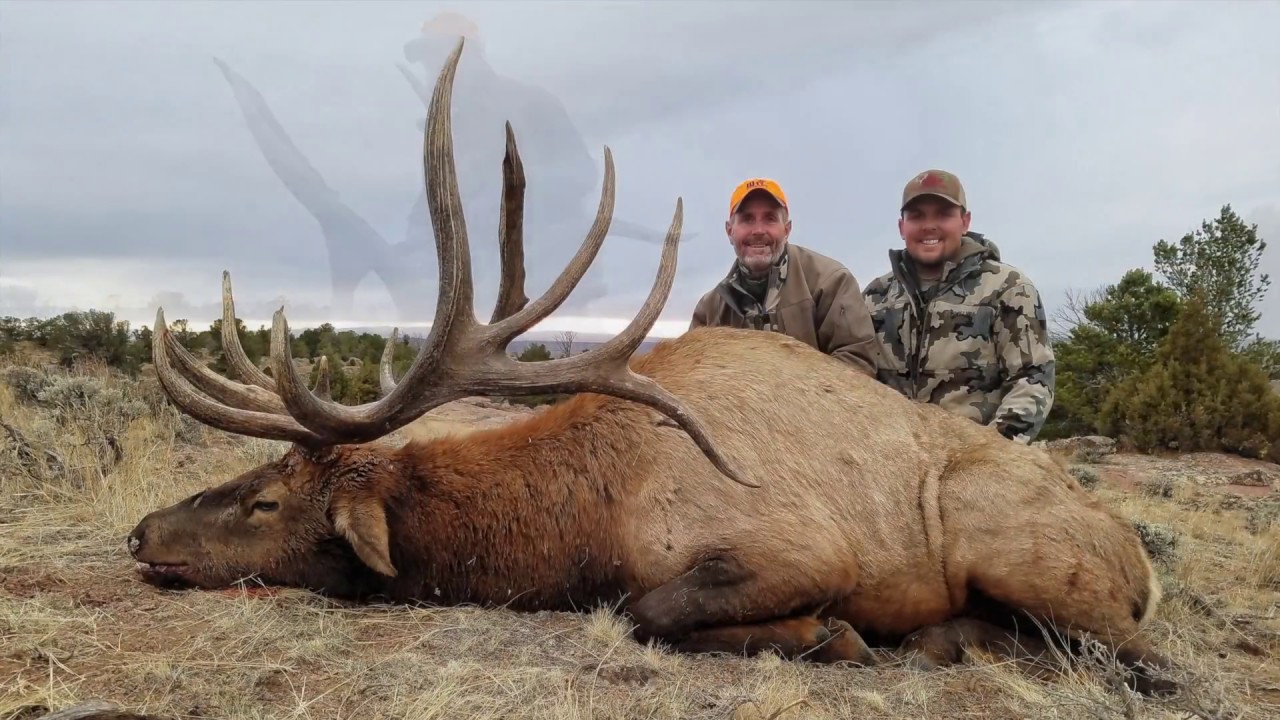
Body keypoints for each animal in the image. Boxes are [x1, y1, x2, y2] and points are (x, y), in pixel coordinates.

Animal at [129, 37, 1177, 696]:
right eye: (253, 476)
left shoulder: (800, 548)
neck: (590, 512)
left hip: (1012, 546)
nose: (140, 533)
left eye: (267, 502)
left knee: (1135, 659)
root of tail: (1140, 564)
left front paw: (824, 634)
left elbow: (646, 608)